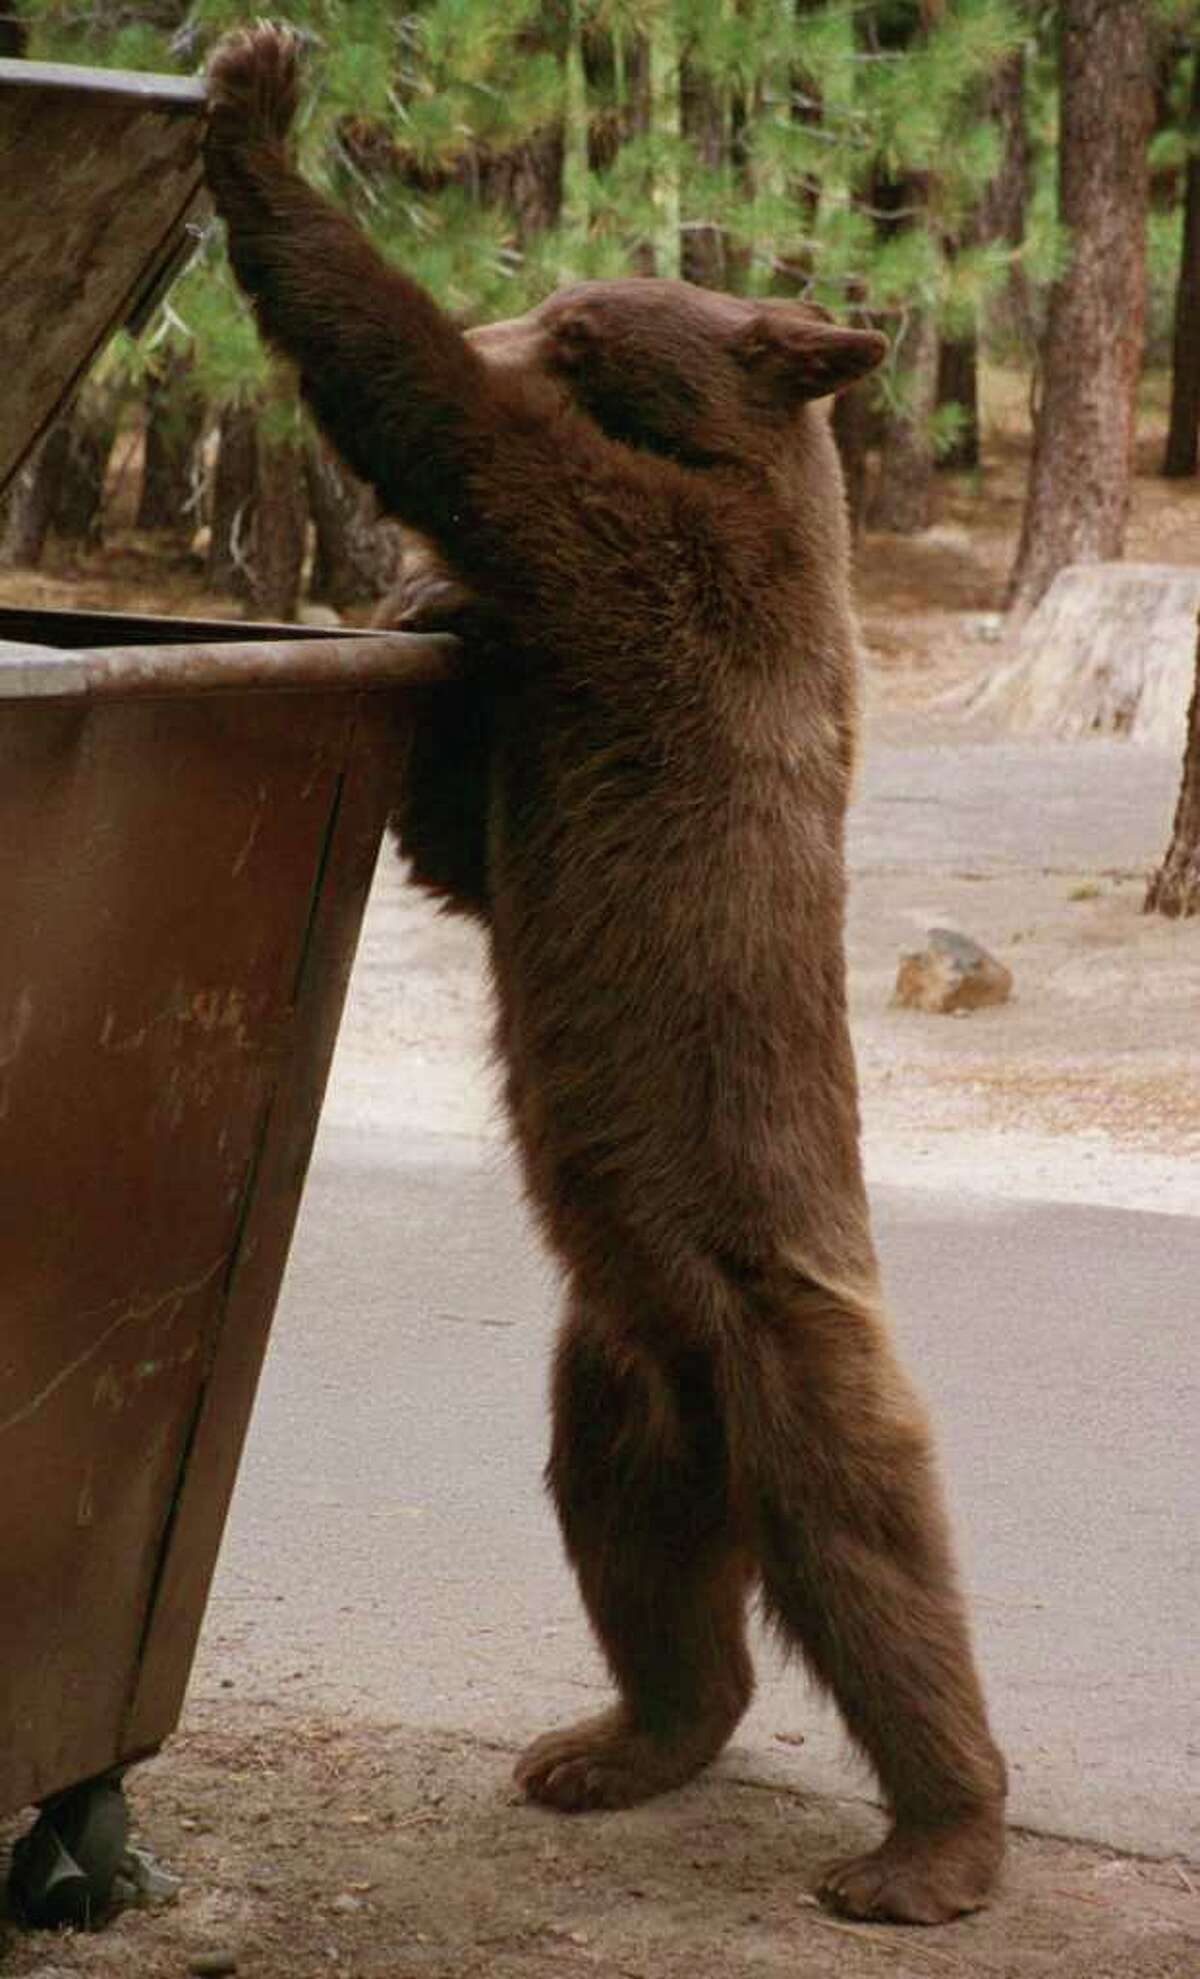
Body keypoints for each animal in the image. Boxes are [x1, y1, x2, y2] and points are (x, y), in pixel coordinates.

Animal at [204, 23, 1007, 1925]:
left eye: (582, 333)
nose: (524, 311)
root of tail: (705, 1388)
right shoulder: (575, 703)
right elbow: (470, 855)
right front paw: (422, 610)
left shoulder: (655, 592)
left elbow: (469, 450)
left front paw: (258, 107)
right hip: (611, 1377)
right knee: (636, 1558)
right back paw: (612, 1739)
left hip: (793, 1343)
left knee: (877, 1564)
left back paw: (929, 1842)